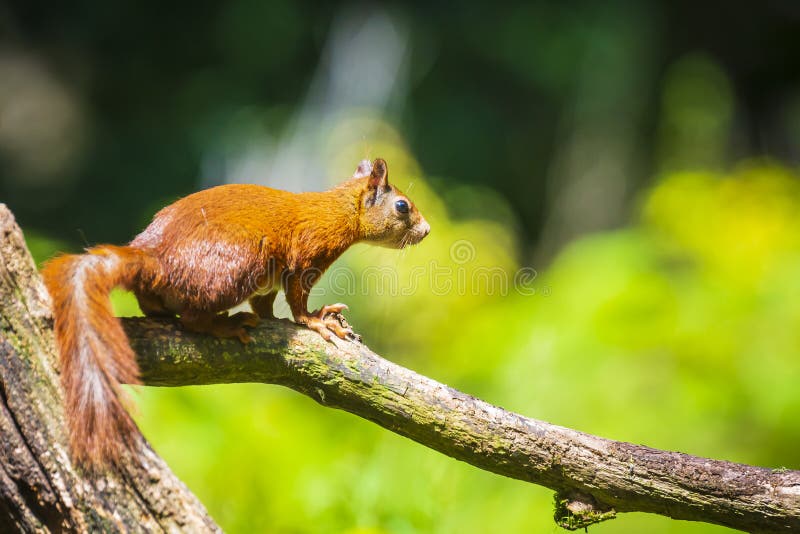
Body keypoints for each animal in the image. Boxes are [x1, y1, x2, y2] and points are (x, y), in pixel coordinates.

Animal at [42, 158, 430, 470]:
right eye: (402, 206)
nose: (426, 231)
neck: (339, 209)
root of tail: (154, 258)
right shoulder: (306, 256)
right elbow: (297, 301)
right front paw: (318, 320)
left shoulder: (268, 285)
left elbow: (267, 305)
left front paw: (285, 319)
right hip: (241, 264)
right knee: (194, 319)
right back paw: (227, 324)